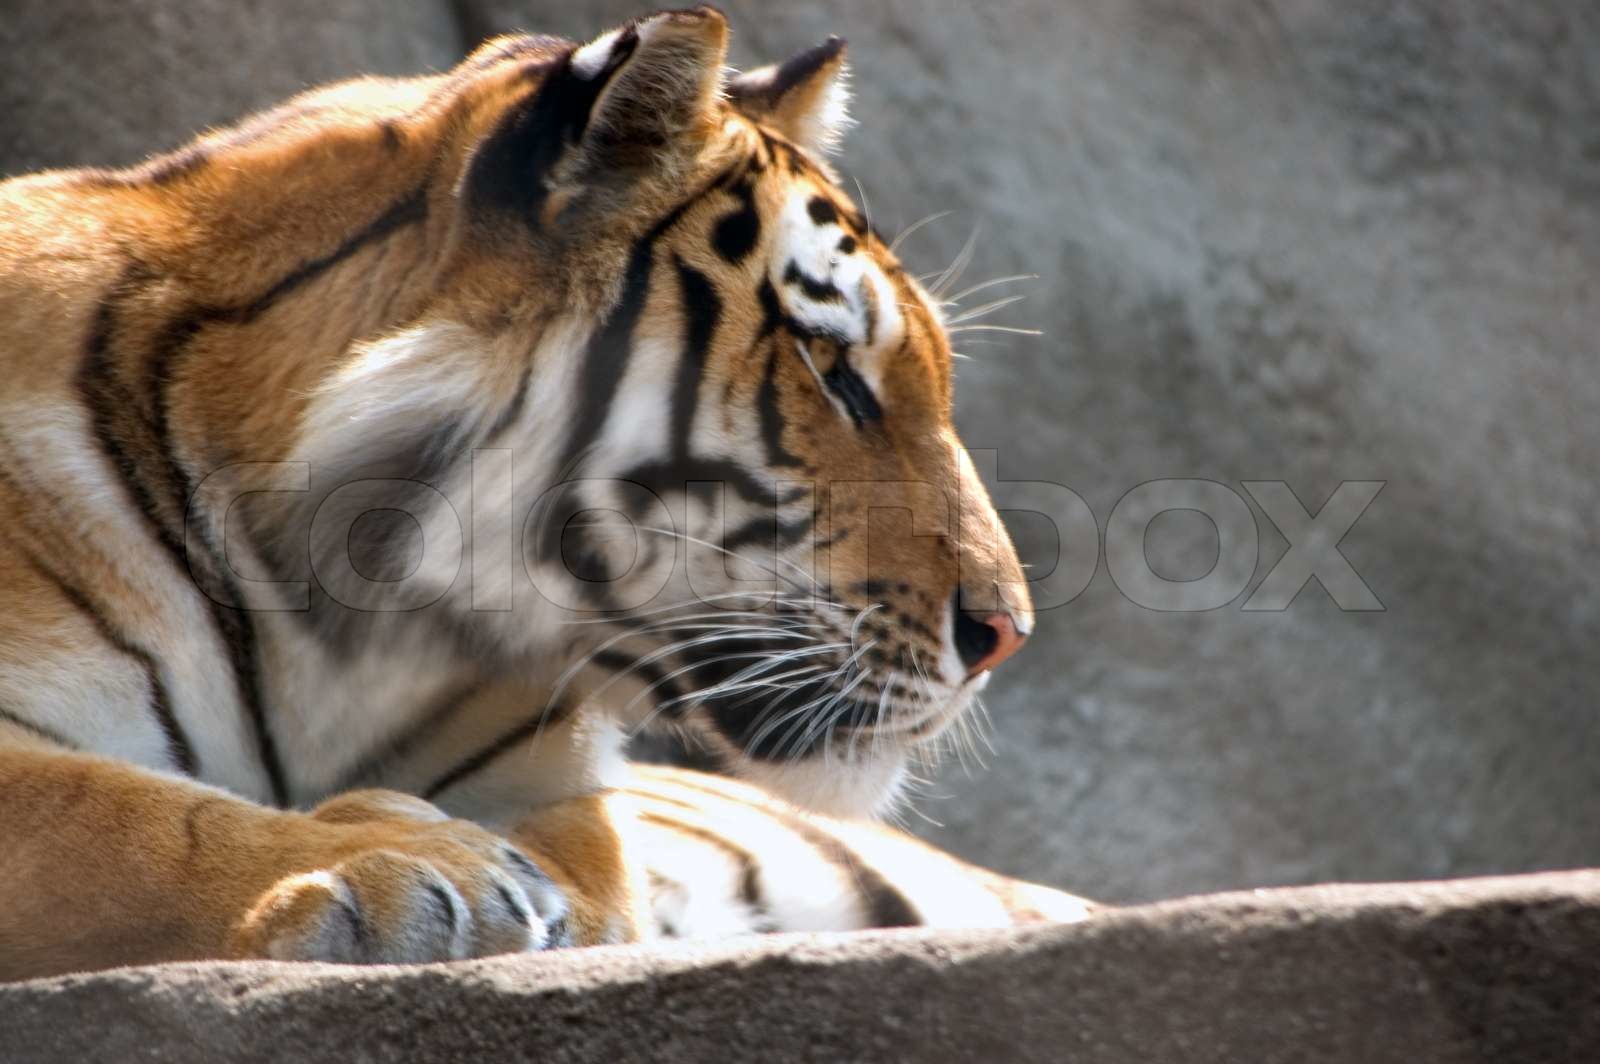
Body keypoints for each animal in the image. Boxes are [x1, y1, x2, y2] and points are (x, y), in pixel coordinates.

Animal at [0, 7, 1039, 980]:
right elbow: (125, 820)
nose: (1005, 636)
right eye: (832, 370)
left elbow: (585, 879)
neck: (333, 611)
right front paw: (392, 862)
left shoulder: (557, 791)